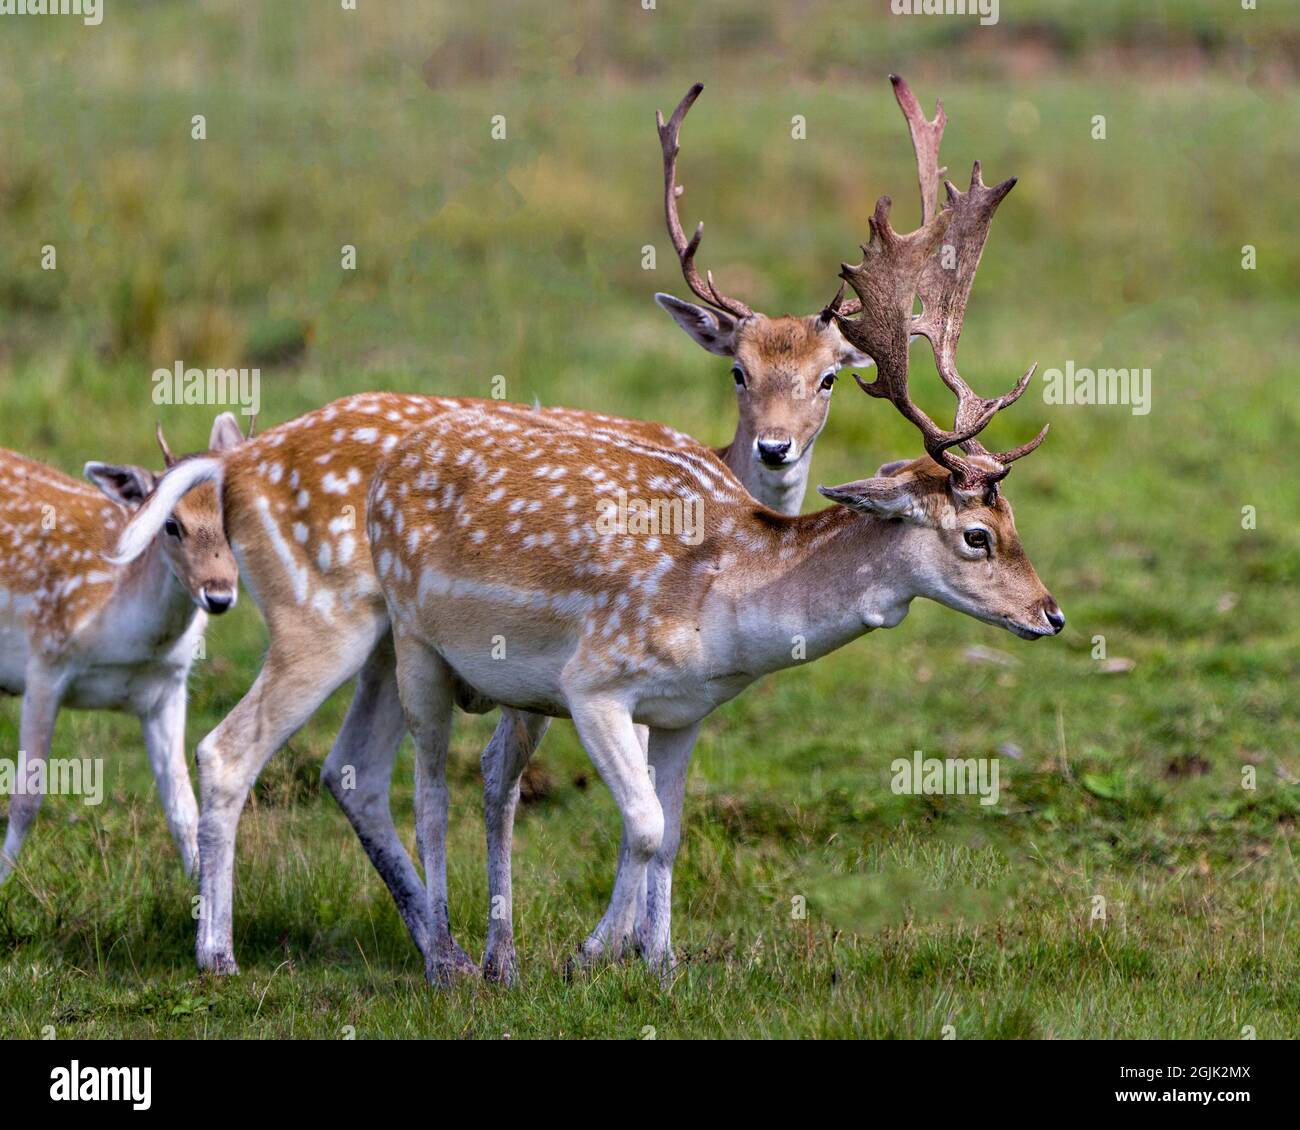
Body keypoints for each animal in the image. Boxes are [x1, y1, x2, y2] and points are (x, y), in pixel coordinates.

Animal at [0, 414, 245, 885]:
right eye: (171, 524)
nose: (219, 594)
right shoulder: (45, 662)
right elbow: (26, 797)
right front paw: (3, 883)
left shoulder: (168, 688)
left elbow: (183, 807)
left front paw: (197, 891)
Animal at [363, 75, 1064, 984]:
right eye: (977, 534)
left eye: (1016, 519)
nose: (1051, 613)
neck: (722, 606)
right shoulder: (592, 685)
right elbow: (643, 825)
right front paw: (595, 956)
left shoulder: (686, 709)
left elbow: (671, 832)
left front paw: (660, 964)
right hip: (416, 642)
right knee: (428, 792)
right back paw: (454, 961)